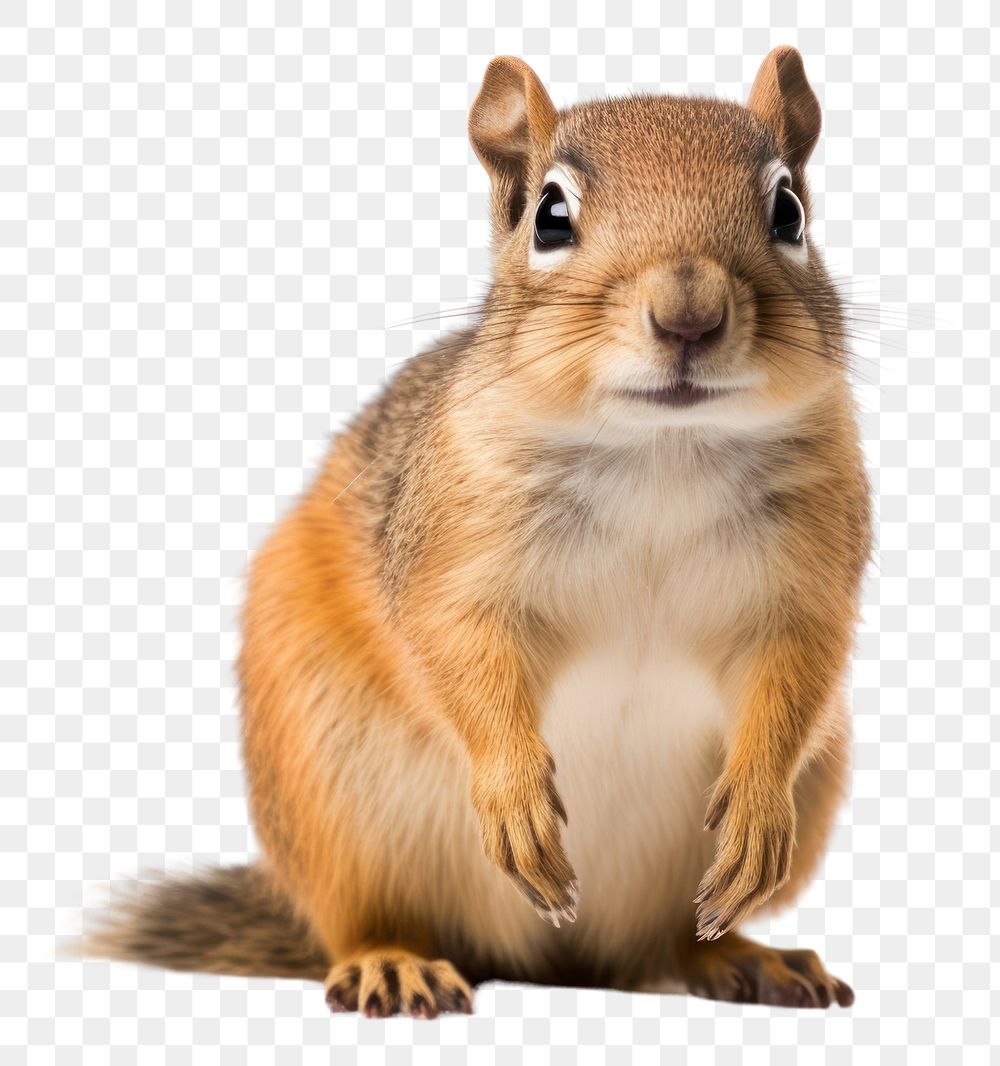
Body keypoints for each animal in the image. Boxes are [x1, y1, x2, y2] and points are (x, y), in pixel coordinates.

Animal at [84, 48, 871, 1017]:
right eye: (551, 216)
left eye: (788, 210)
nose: (688, 315)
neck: (663, 451)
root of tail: (558, 960)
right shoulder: (452, 554)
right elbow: (456, 651)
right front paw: (512, 792)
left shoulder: (812, 574)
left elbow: (797, 676)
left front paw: (759, 806)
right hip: (334, 806)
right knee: (365, 919)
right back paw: (393, 962)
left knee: (667, 947)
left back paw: (742, 959)